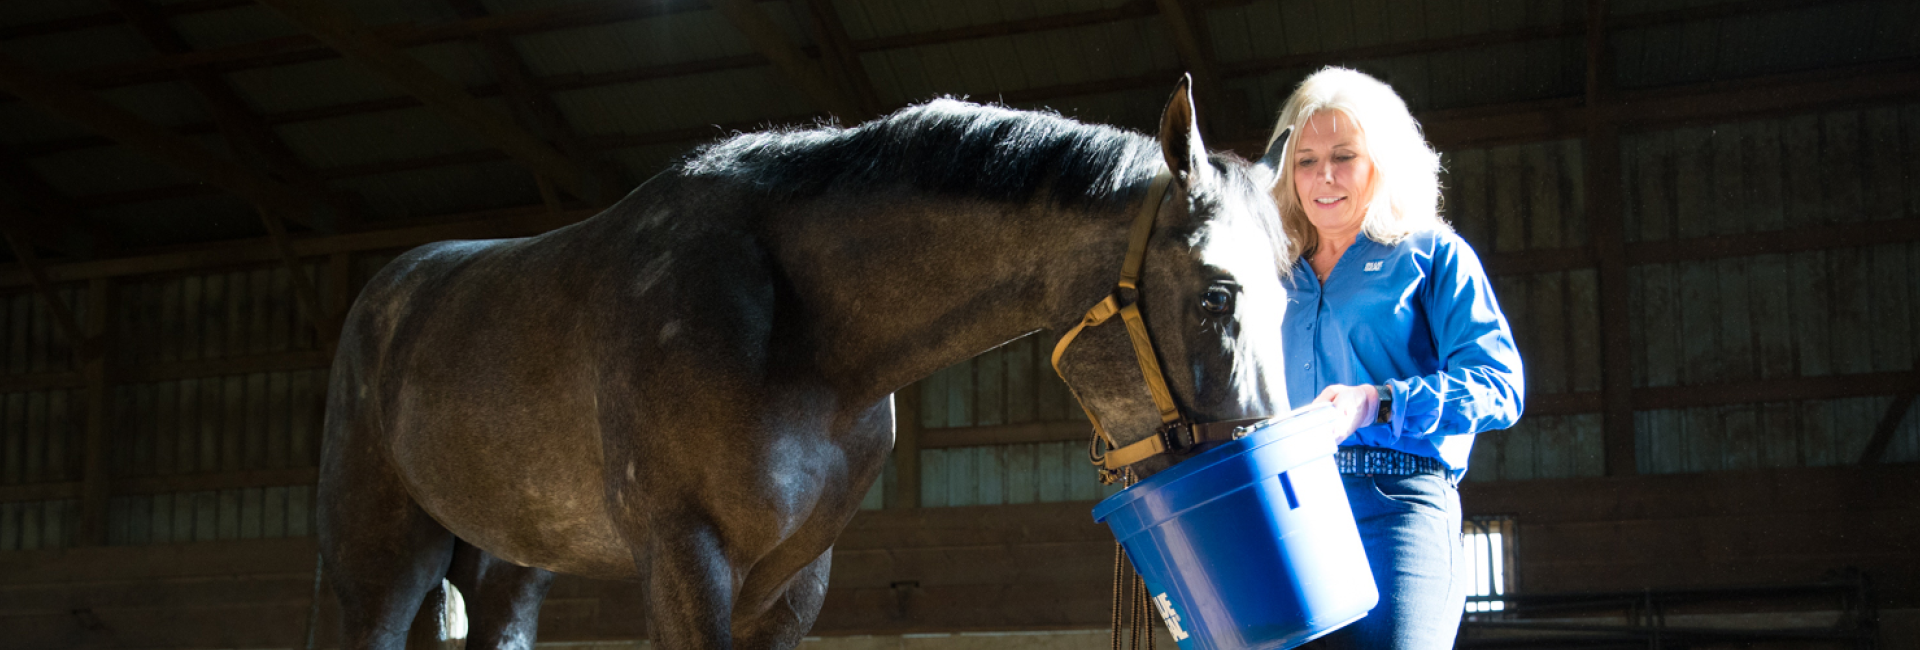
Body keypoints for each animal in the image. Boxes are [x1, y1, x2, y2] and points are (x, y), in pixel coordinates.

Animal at [318, 77, 1295, 650]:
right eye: (1217, 296)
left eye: (1290, 292)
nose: (1254, 461)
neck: (802, 330)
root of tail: (384, 293)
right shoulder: (685, 561)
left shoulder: (793, 581)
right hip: (381, 554)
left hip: (513, 563)